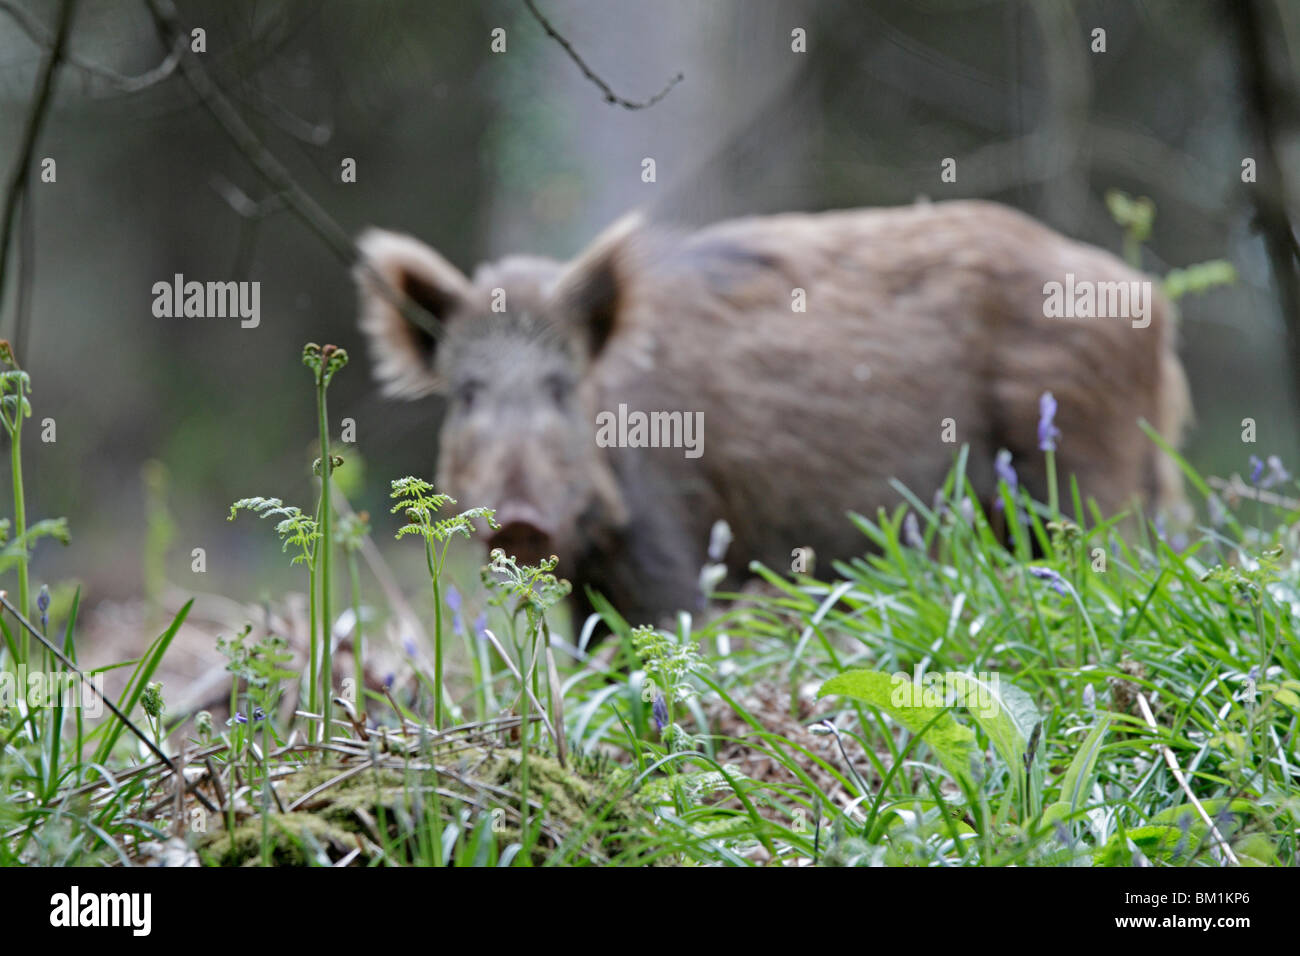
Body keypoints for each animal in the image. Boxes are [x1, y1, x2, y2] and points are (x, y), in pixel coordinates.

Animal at [354, 200, 1190, 627]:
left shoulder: (675, 538)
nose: (520, 520)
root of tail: (1148, 303)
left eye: (562, 387)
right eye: (468, 392)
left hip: (1086, 469)